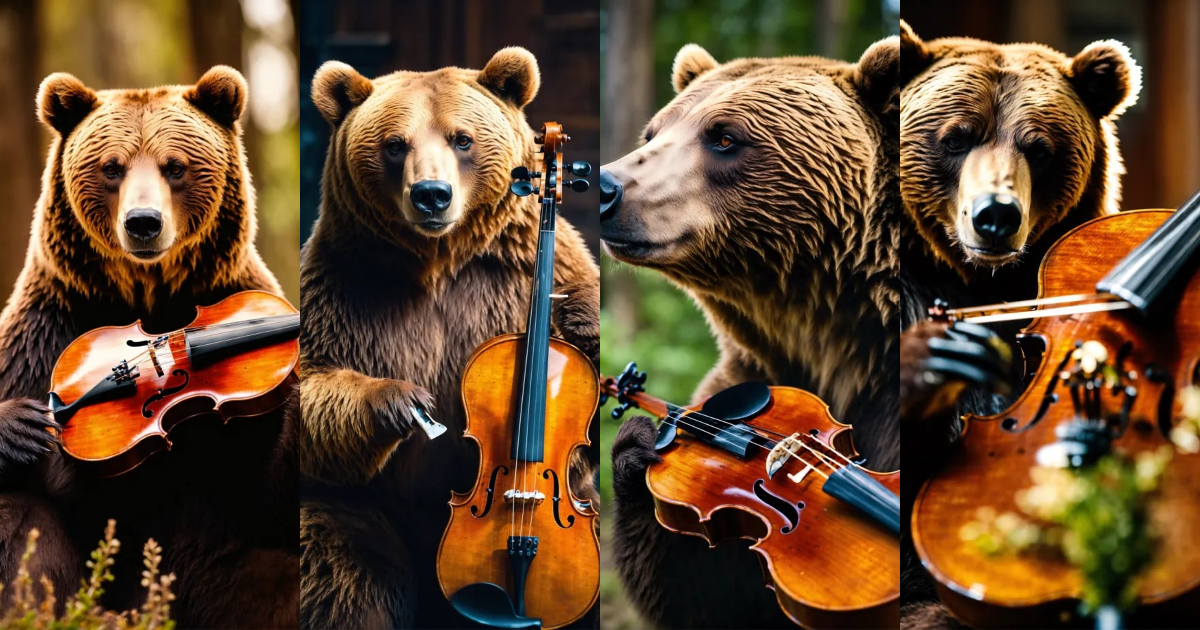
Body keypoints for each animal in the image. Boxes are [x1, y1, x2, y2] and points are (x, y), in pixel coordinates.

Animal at [0, 67, 298, 627]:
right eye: (111, 167)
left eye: (175, 166)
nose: (143, 221)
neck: (147, 294)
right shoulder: (47, 323)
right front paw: (22, 424)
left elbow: (269, 496)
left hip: (218, 576)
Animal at [294, 47, 601, 629]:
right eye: (395, 144)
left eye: (462, 139)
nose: (431, 195)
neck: (440, 260)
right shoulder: (346, 288)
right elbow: (315, 387)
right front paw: (399, 400)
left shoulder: (517, 277)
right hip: (368, 518)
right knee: (342, 568)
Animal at [599, 39, 901, 628]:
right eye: (653, 132)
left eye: (724, 137)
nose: (606, 186)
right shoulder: (749, 366)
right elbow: (700, 589)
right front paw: (639, 442)